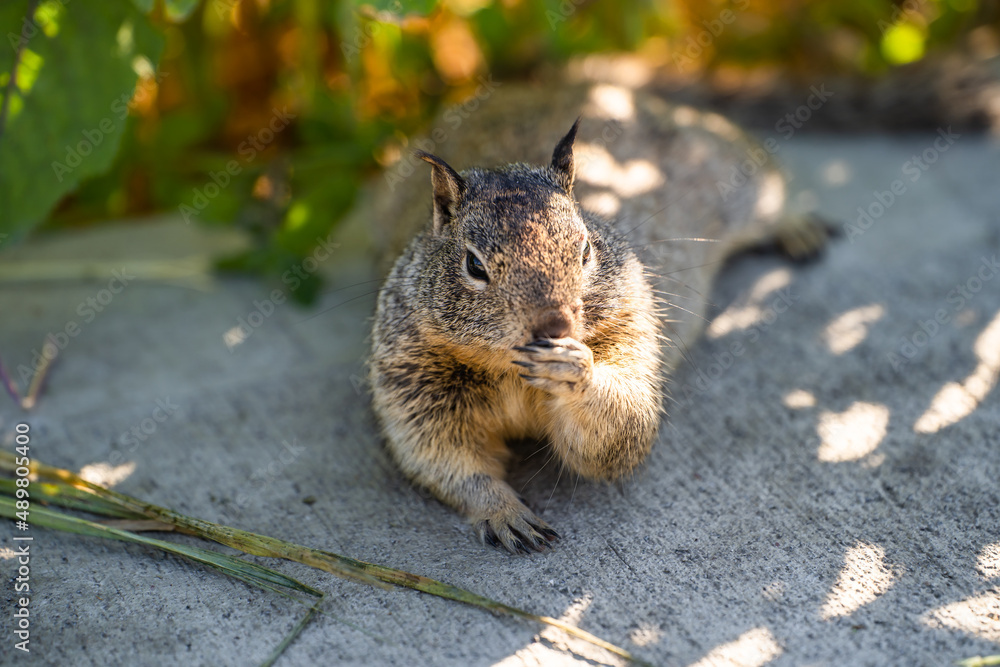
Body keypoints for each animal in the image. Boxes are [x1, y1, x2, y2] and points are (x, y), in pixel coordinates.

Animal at [368, 70, 828, 553]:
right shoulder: (414, 384)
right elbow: (449, 461)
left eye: (585, 249)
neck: (511, 372)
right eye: (474, 265)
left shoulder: (632, 327)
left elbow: (621, 423)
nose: (555, 326)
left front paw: (575, 369)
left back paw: (799, 228)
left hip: (734, 172)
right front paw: (506, 513)